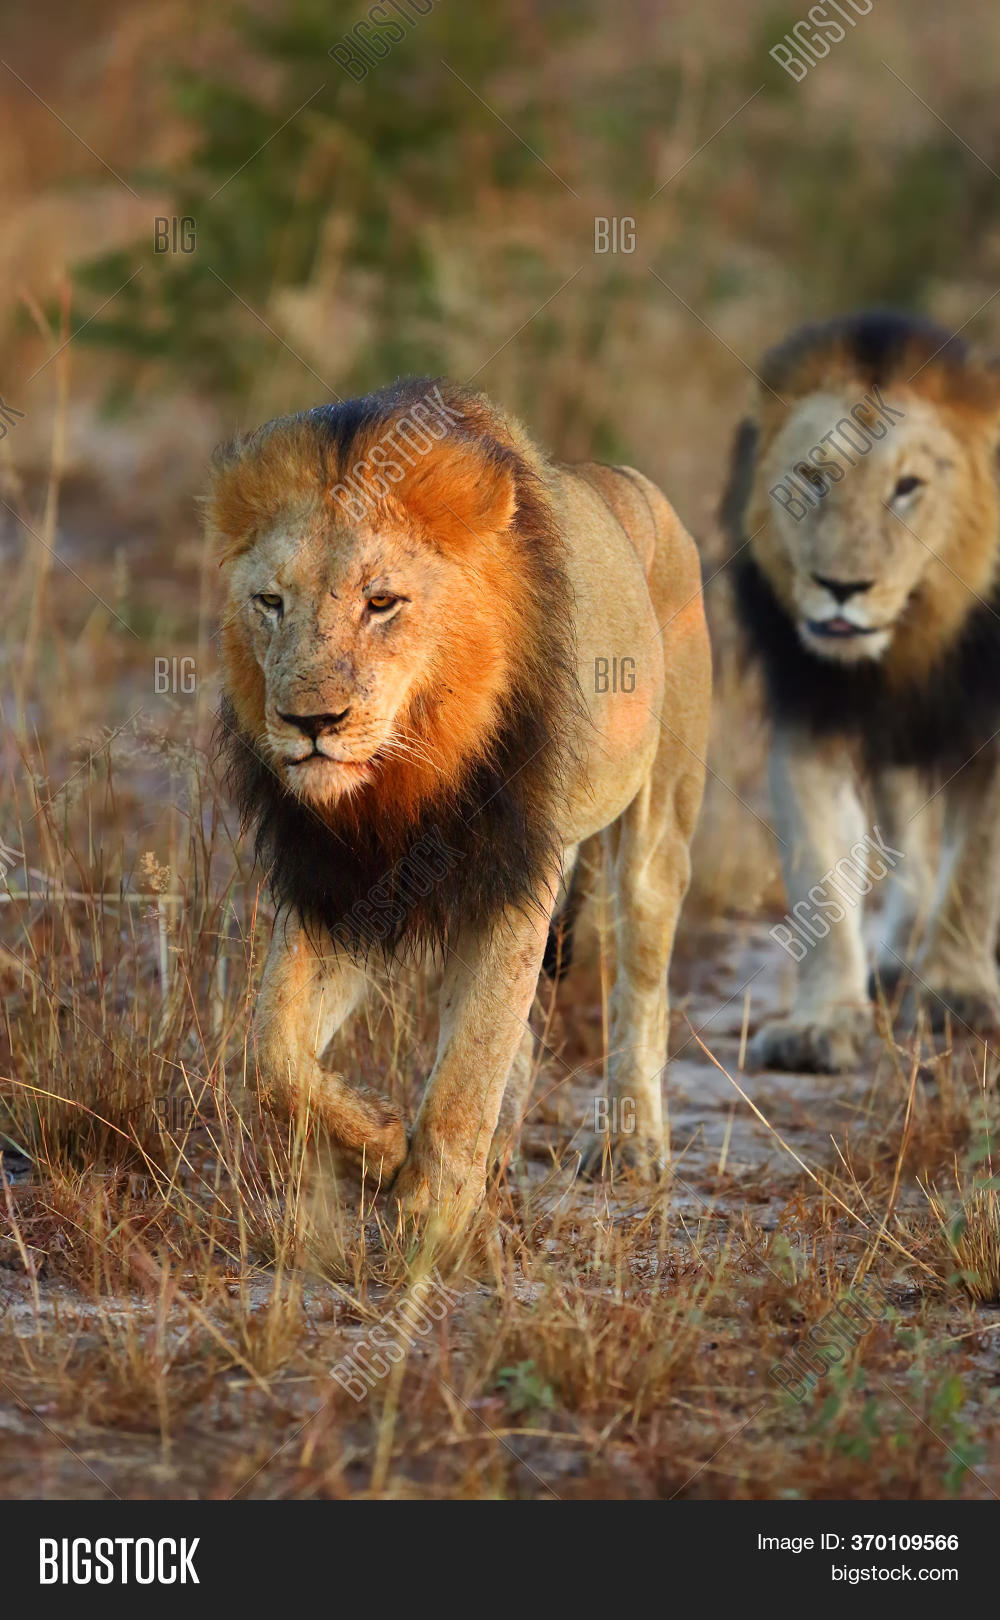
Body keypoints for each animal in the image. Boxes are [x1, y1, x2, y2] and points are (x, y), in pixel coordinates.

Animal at [209, 379, 710, 1216]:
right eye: (270, 602)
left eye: (382, 603)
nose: (311, 721)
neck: (406, 770)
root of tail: (630, 483)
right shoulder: (339, 879)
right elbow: (269, 1053)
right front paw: (380, 1144)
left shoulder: (518, 868)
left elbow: (468, 1070)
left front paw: (431, 1217)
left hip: (657, 822)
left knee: (640, 983)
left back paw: (633, 1146)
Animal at [723, 310, 1000, 1072]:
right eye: (815, 477)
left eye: (907, 487)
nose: (842, 588)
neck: (905, 649)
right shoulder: (810, 715)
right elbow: (819, 867)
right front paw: (822, 1022)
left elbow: (975, 869)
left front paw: (956, 995)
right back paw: (895, 958)